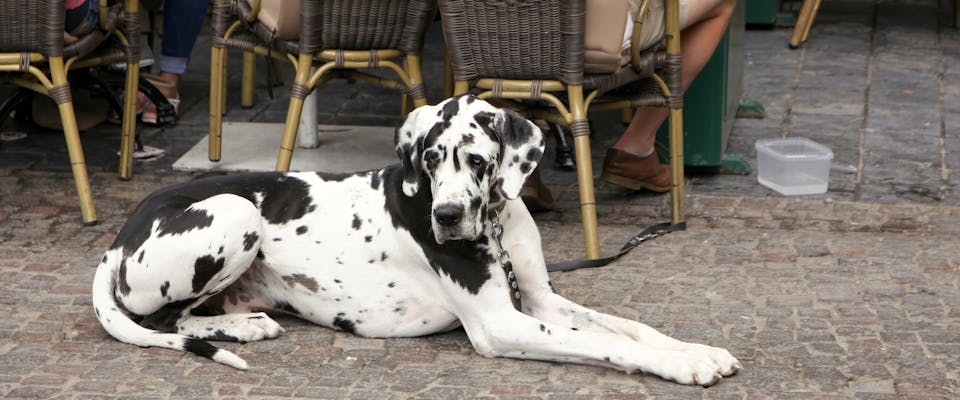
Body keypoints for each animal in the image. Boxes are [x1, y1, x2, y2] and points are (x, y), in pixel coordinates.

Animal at [94, 95, 740, 386]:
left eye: (476, 160)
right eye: (430, 157)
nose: (448, 215)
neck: (494, 220)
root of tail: (117, 239)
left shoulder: (540, 298)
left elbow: (630, 327)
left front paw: (695, 350)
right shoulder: (500, 324)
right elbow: (609, 344)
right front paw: (680, 367)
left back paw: (245, 321)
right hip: (235, 212)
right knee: (169, 320)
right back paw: (242, 328)